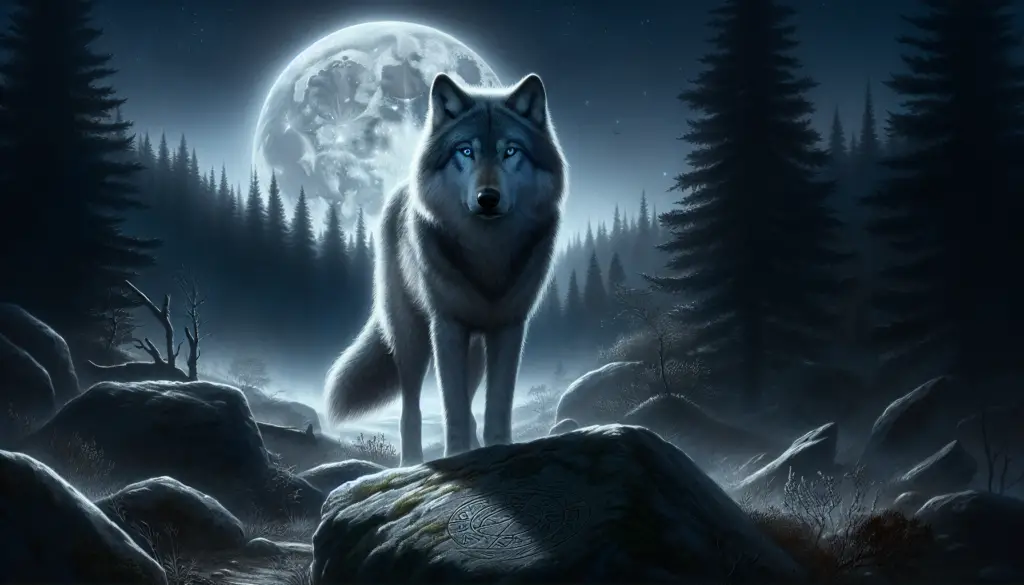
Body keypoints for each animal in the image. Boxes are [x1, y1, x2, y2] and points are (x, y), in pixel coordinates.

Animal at [323, 72, 568, 465]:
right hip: (412, 339)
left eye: (510, 151)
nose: (487, 198)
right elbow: (451, 403)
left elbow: (498, 401)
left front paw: (498, 446)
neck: (488, 255)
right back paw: (411, 462)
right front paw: (456, 454)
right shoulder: (447, 326)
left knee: (469, 400)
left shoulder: (510, 327)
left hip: (474, 352)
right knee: (411, 406)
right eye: (465, 151)